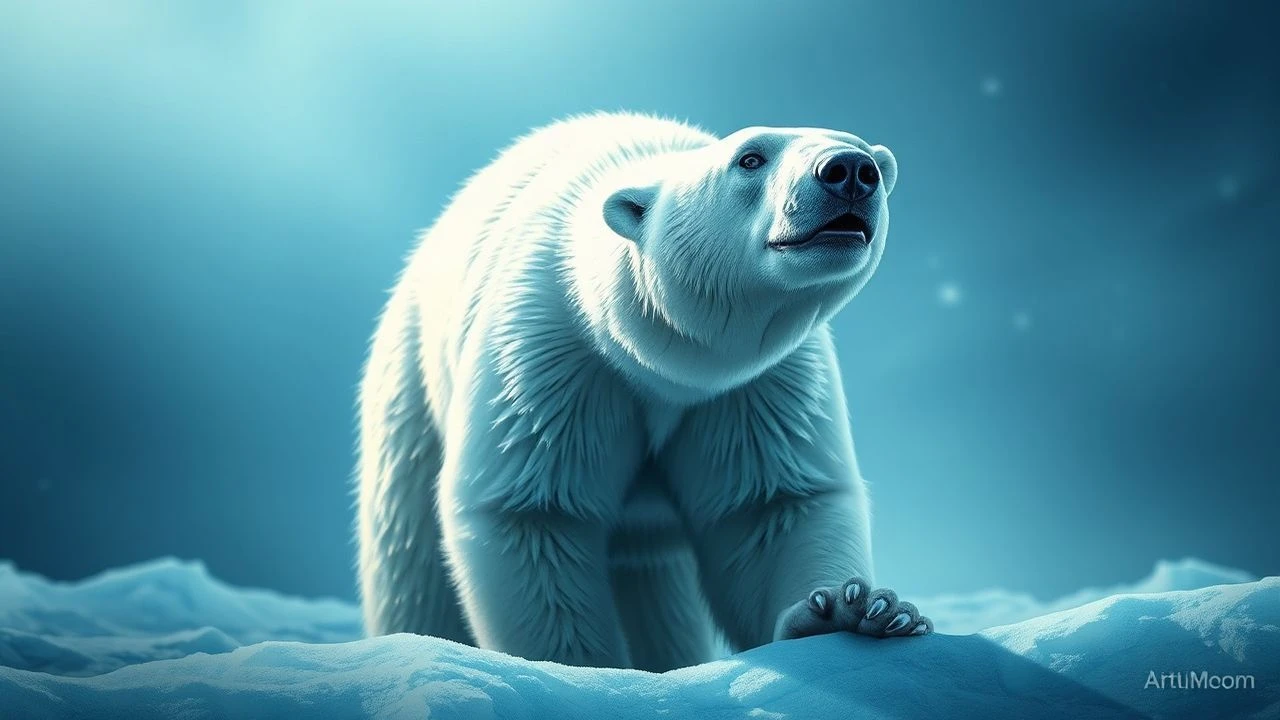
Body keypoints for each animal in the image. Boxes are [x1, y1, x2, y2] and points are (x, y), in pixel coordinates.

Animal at [355, 112, 931, 671]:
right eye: (750, 158)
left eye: (862, 148)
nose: (850, 170)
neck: (662, 364)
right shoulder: (549, 358)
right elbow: (532, 512)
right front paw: (580, 670)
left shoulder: (758, 387)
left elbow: (772, 505)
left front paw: (854, 609)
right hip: (410, 393)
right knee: (412, 560)